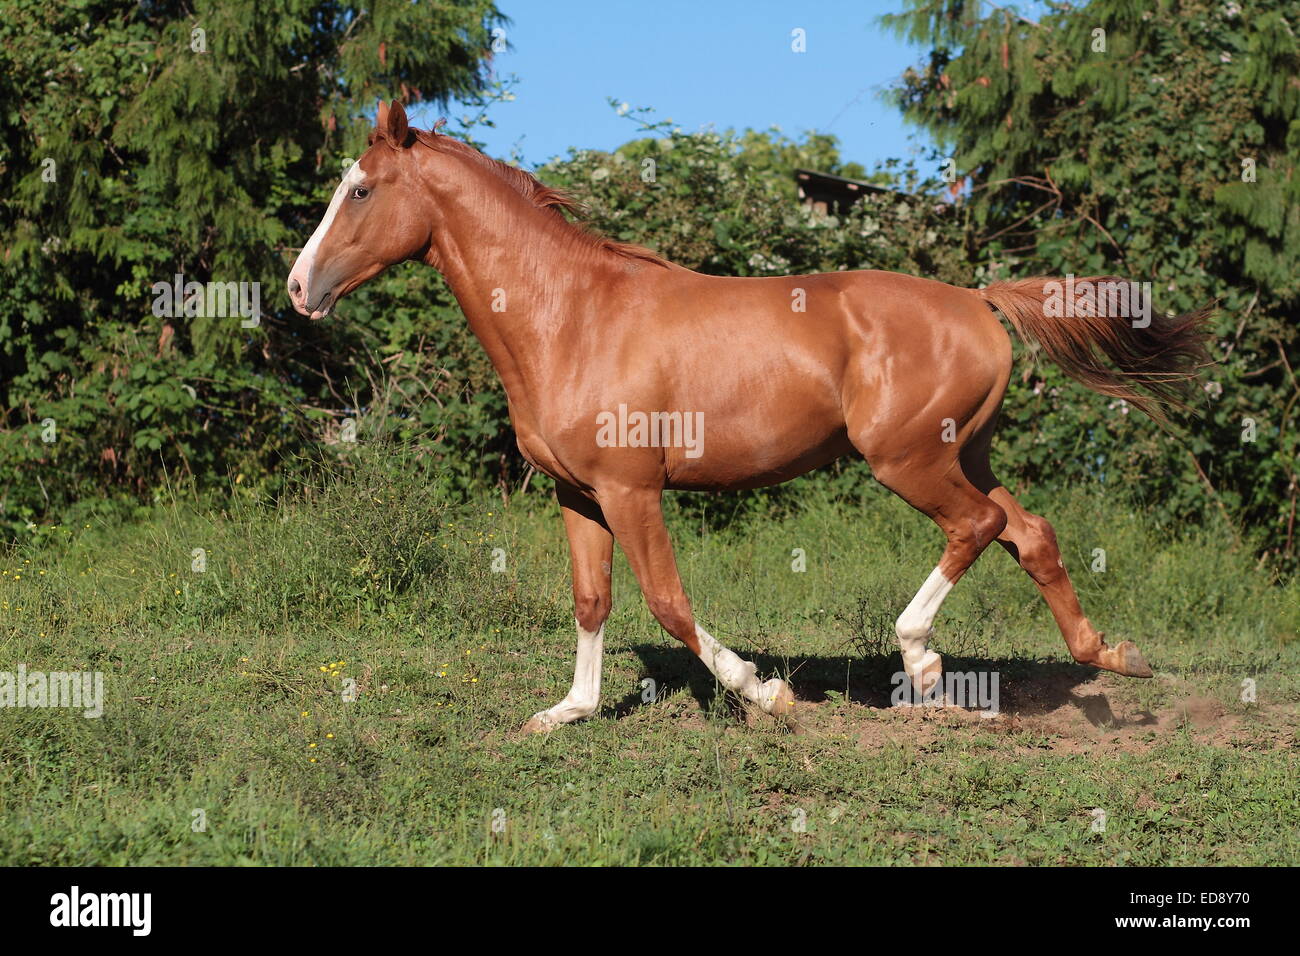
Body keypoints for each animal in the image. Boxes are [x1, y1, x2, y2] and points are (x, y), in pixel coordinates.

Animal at [287, 100, 1211, 732]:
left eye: (360, 190)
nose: (299, 289)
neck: (571, 316)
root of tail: (980, 302)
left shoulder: (632, 490)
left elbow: (667, 602)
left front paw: (766, 694)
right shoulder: (578, 495)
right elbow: (591, 600)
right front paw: (568, 712)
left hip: (907, 461)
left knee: (977, 527)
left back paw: (921, 661)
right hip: (962, 453)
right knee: (1031, 532)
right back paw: (1109, 658)